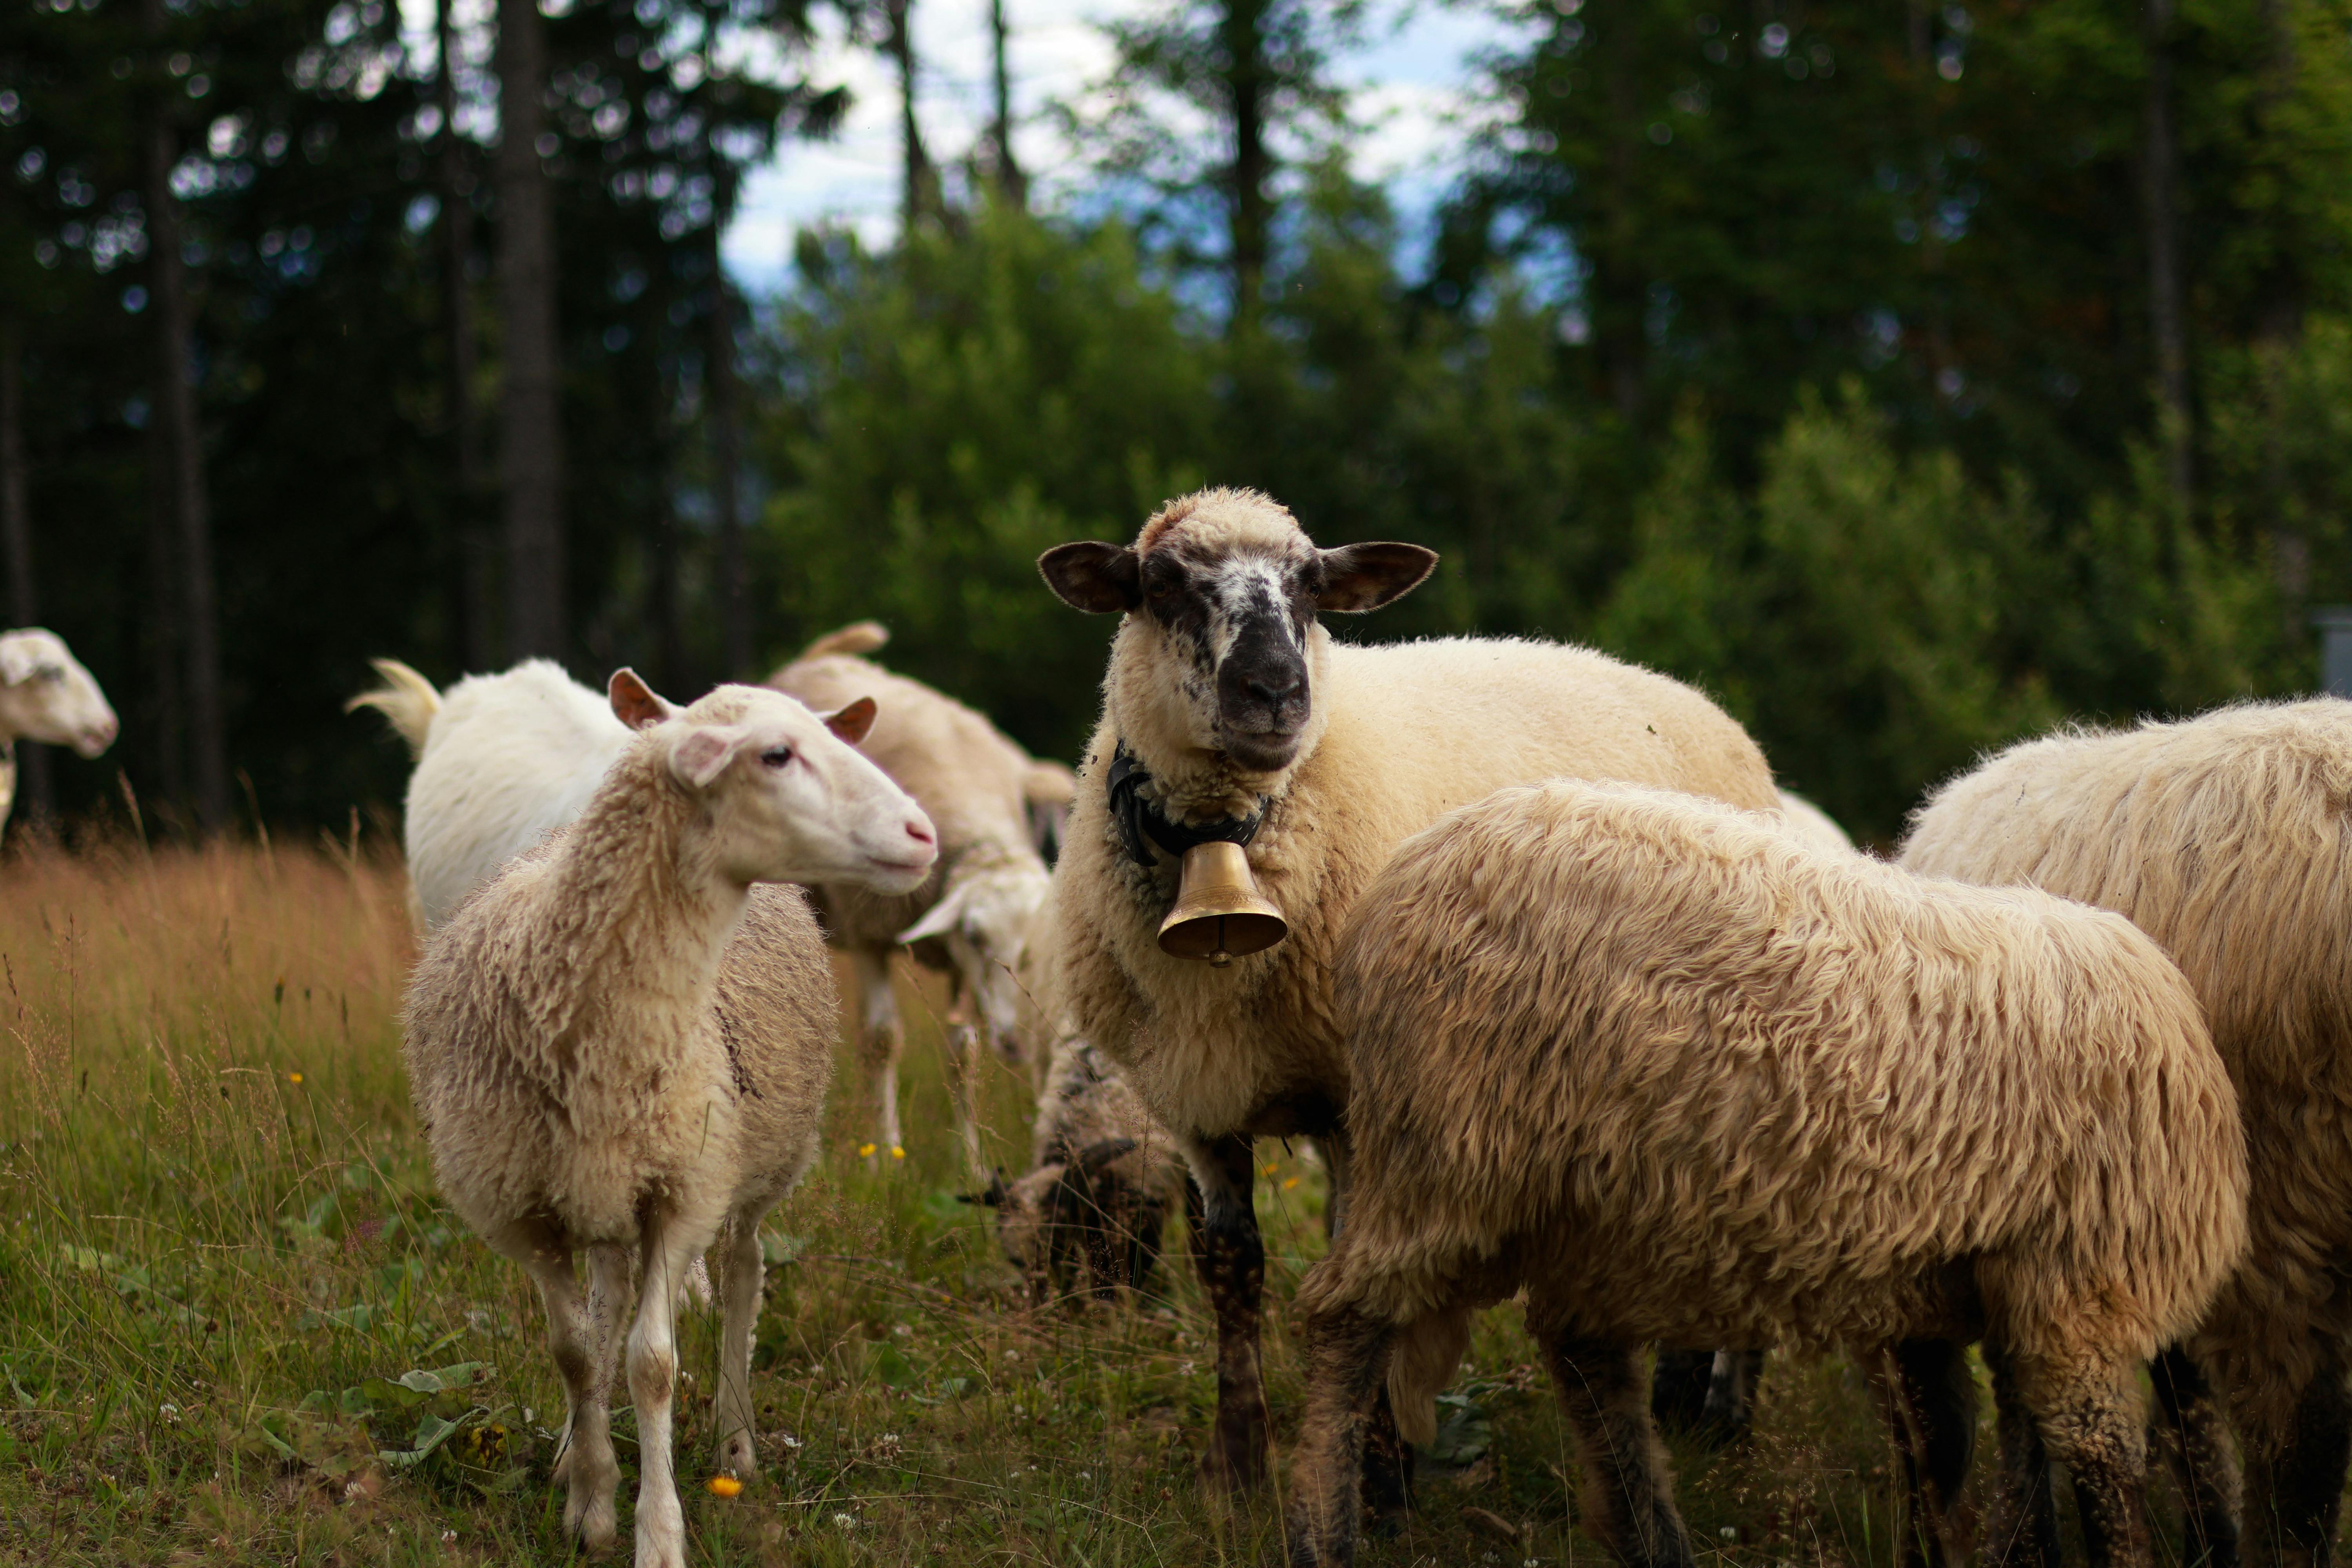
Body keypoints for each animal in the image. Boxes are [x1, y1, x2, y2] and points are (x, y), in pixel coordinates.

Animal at [402, 672, 937, 1567]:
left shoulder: (683, 1192)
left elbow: (652, 1363)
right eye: (776, 754)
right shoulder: (524, 1208)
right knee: (607, 1302)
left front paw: (657, 1532)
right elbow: (576, 1352)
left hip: (752, 1167)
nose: (923, 833)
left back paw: (735, 1442)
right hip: (603, 1185)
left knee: (744, 1272)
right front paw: (589, 1499)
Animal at [767, 622, 1062, 1170]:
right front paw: (886, 1157)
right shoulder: (869, 932)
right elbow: (882, 1042)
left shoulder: (960, 966)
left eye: (1034, 949)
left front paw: (971, 1162)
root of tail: (822, 656)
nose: (1015, 1042)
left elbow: (963, 1055)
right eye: (977, 935)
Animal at [1034, 487, 1780, 1496]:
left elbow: (1363, 1269)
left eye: (1312, 586)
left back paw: (1727, 1414)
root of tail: (1702, 704)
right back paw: (1681, 1400)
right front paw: (1236, 1464)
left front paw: (1378, 1475)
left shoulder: (1368, 1093)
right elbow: (1230, 1264)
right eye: (1160, 583)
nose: (1276, 691)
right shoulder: (1195, 1095)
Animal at [1286, 778, 2248, 1568]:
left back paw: (1653, 1539)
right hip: (1445, 1151)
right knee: (1346, 1323)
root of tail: (1390, 890)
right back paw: (1321, 1534)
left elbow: (1964, 1448)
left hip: (1582, 1198)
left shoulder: (1972, 1281)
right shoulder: (2082, 1288)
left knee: (1585, 1358)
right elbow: (2099, 1466)